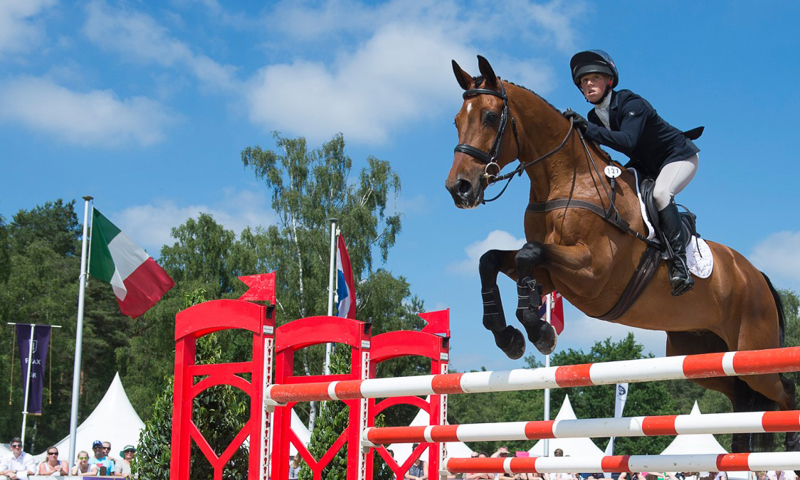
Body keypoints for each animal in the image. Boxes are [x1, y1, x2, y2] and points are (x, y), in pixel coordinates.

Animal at [444, 56, 797, 454]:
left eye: (490, 117)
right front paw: (511, 336)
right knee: (741, 396)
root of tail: (757, 276)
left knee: (783, 388)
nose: (459, 188)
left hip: (753, 345)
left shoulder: (593, 273)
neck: (567, 180)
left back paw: (791, 440)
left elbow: (527, 255)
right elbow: (491, 259)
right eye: (456, 121)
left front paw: (539, 331)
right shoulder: (554, 276)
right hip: (700, 353)